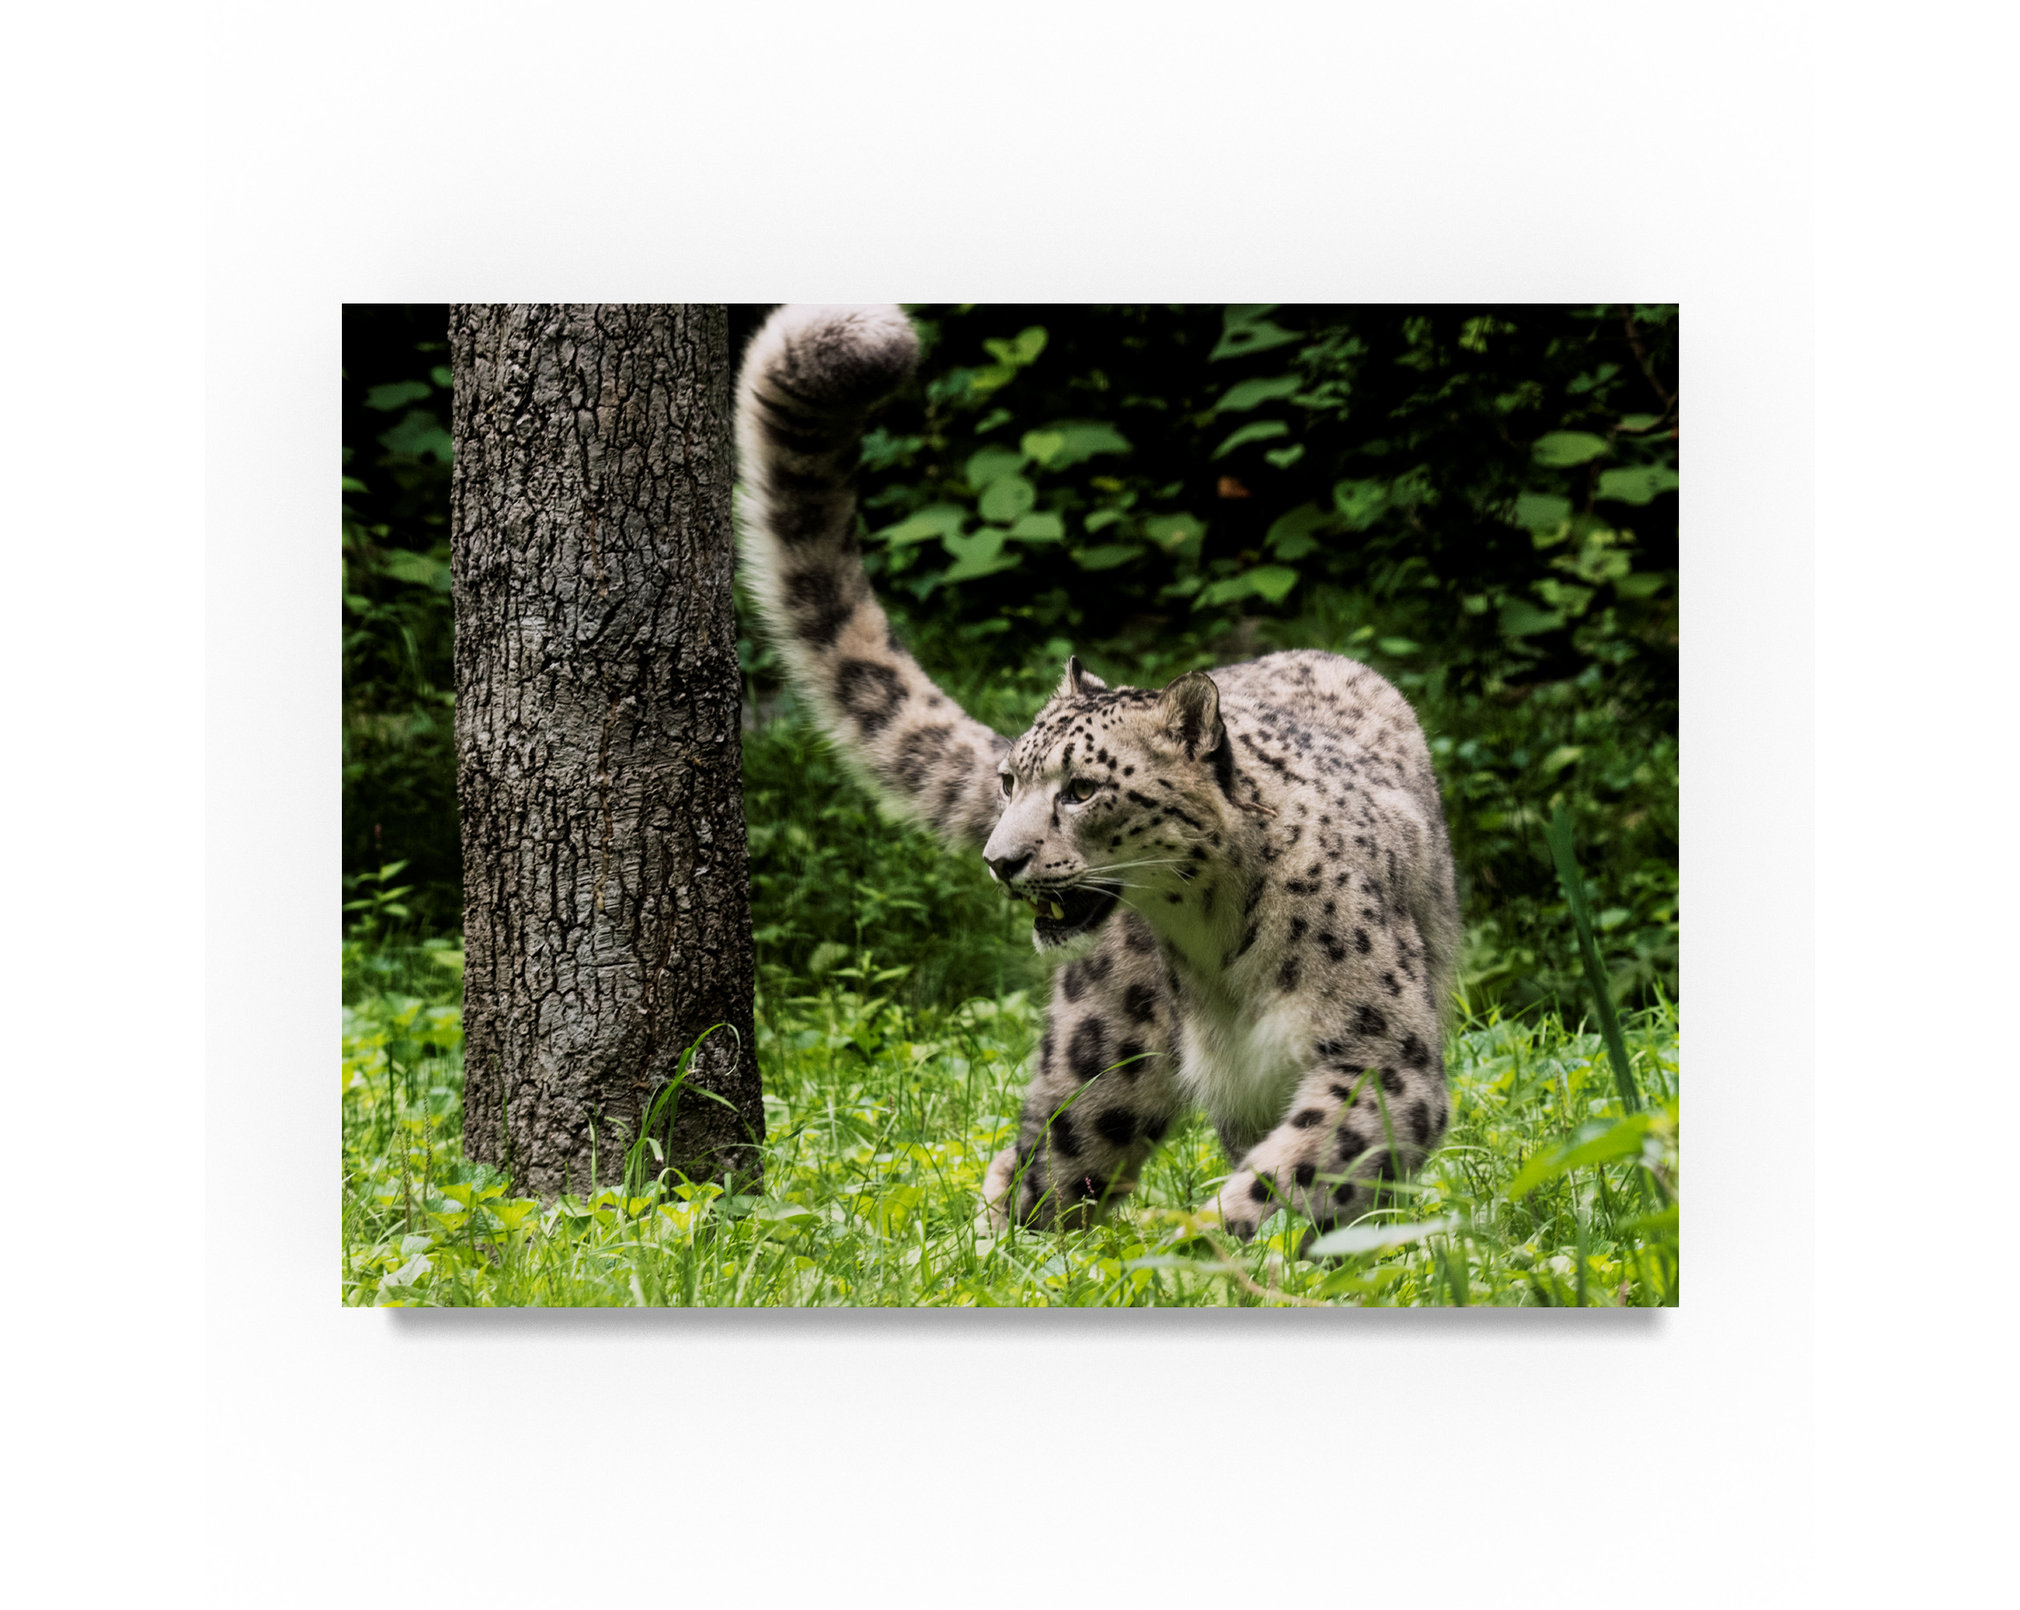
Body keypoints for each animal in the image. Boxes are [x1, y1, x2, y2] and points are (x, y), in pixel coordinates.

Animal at [735, 303, 1461, 1243]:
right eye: (1010, 781)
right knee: (1045, 1162)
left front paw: (1206, 1244)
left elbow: (1294, 1174)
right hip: (1102, 1049)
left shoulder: (1381, 1059)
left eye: (1082, 789)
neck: (1219, 945)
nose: (1000, 860)